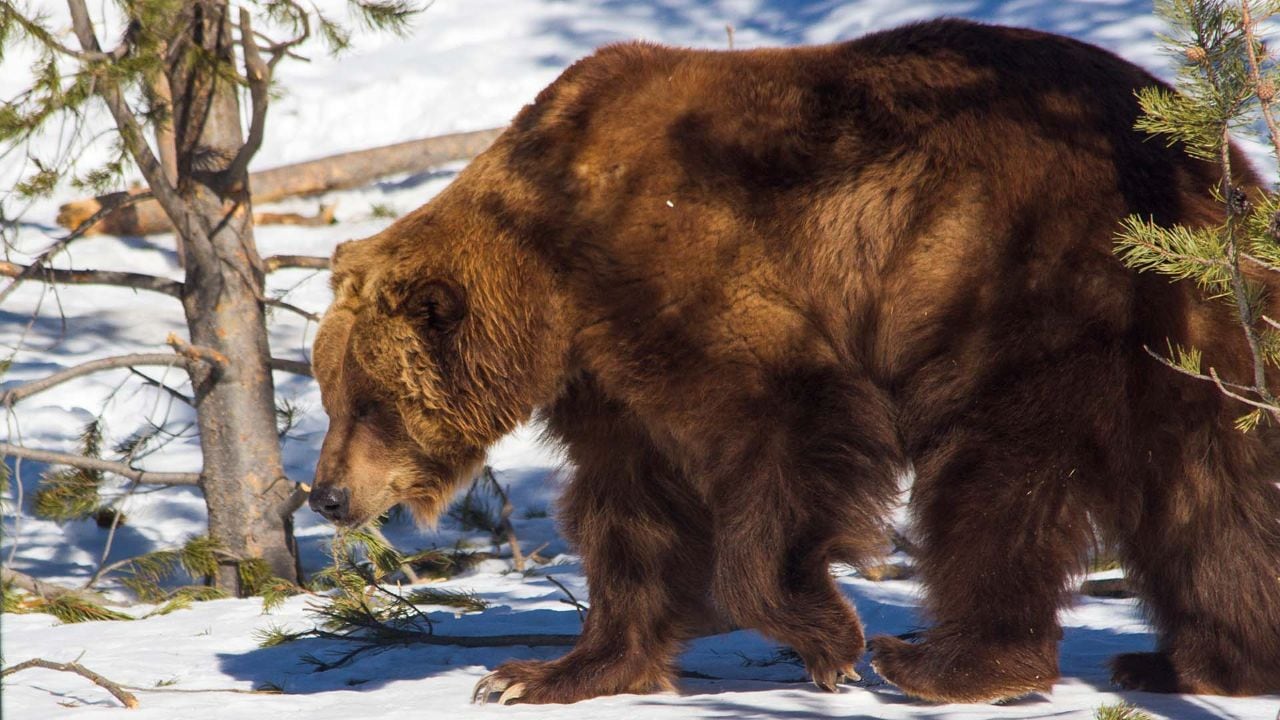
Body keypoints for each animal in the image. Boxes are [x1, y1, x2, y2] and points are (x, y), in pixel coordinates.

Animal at [308, 18, 1280, 705]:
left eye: (366, 399)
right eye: (333, 392)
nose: (325, 495)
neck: (552, 270)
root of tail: (1214, 170)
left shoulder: (680, 264)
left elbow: (786, 420)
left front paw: (828, 641)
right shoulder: (608, 377)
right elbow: (632, 509)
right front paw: (541, 672)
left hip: (1020, 283)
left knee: (995, 475)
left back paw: (944, 660)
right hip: (1185, 330)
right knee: (1212, 494)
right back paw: (1201, 661)